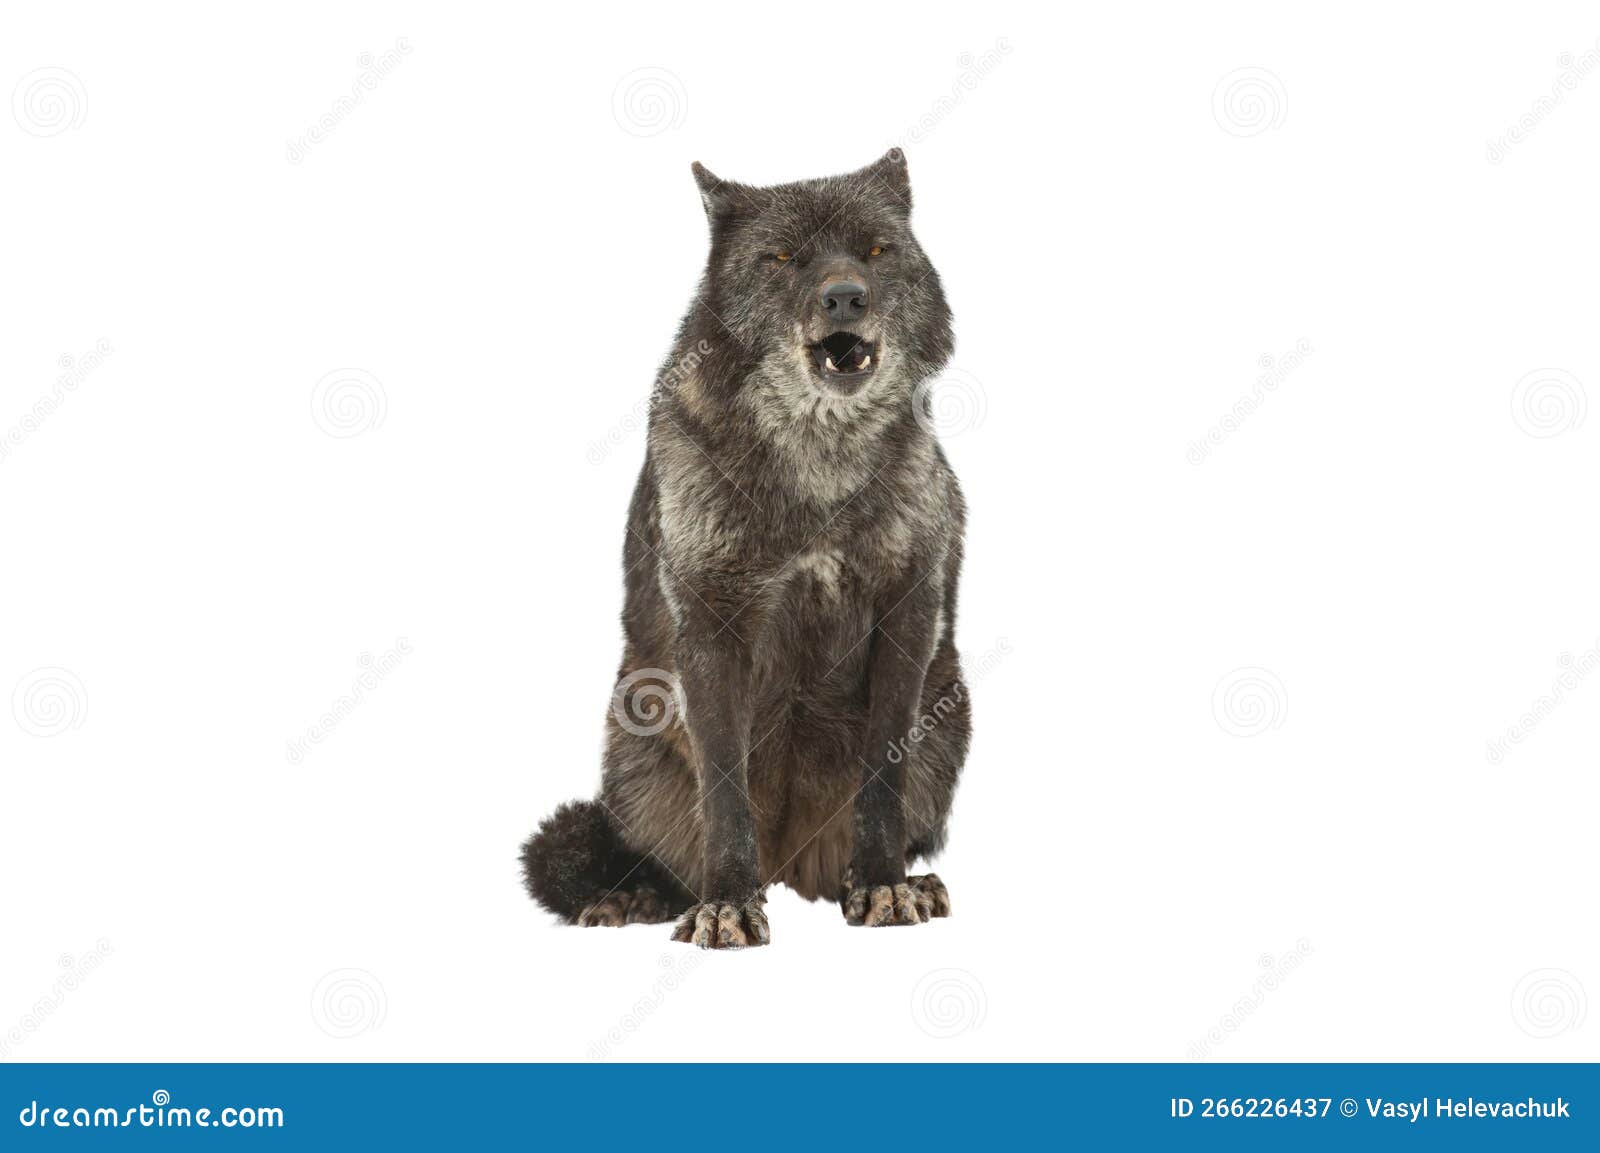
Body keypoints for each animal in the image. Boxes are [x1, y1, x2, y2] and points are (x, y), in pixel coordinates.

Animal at [520, 150, 970, 948]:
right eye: (783, 258)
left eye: (876, 250)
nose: (846, 297)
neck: (820, 467)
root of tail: (787, 866)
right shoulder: (711, 628)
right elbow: (724, 789)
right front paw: (727, 903)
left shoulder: (907, 619)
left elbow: (881, 778)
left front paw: (883, 883)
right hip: (632, 729)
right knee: (654, 858)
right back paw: (633, 899)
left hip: (952, 707)